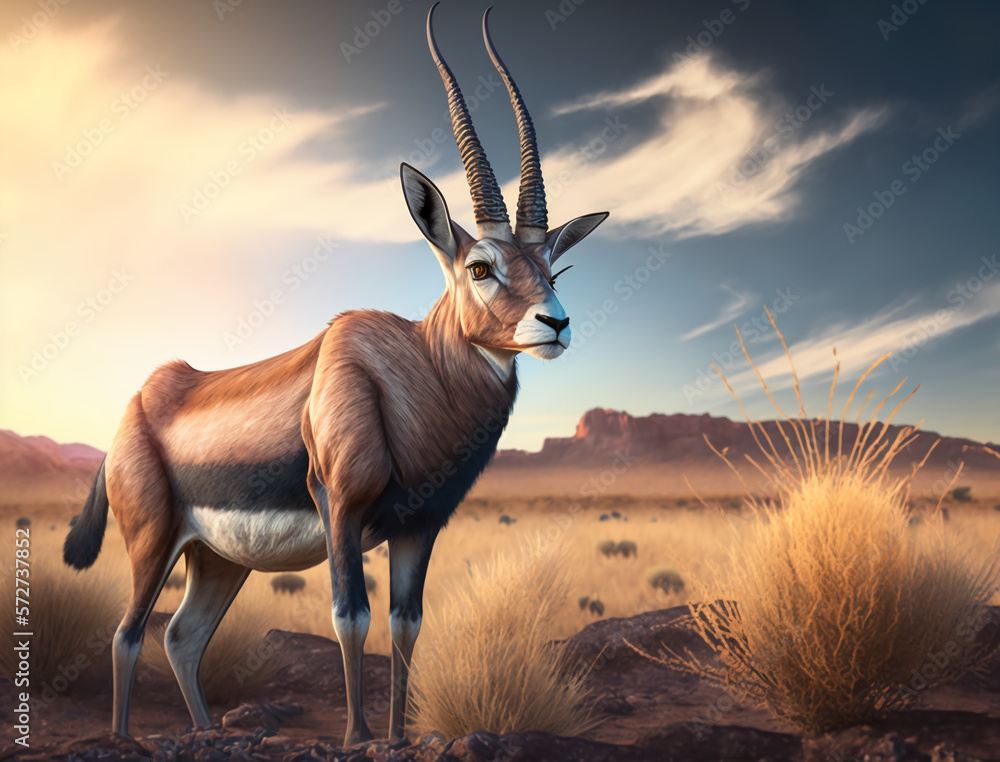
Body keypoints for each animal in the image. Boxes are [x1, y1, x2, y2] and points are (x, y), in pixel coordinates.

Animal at [63, 3, 607, 747]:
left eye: (556, 268)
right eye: (481, 266)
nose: (555, 324)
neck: (411, 372)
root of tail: (139, 403)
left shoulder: (419, 526)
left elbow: (406, 625)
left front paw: (398, 737)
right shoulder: (343, 509)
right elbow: (352, 615)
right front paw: (357, 736)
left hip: (218, 560)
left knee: (181, 636)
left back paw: (205, 732)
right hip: (153, 542)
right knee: (128, 634)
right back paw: (124, 738)